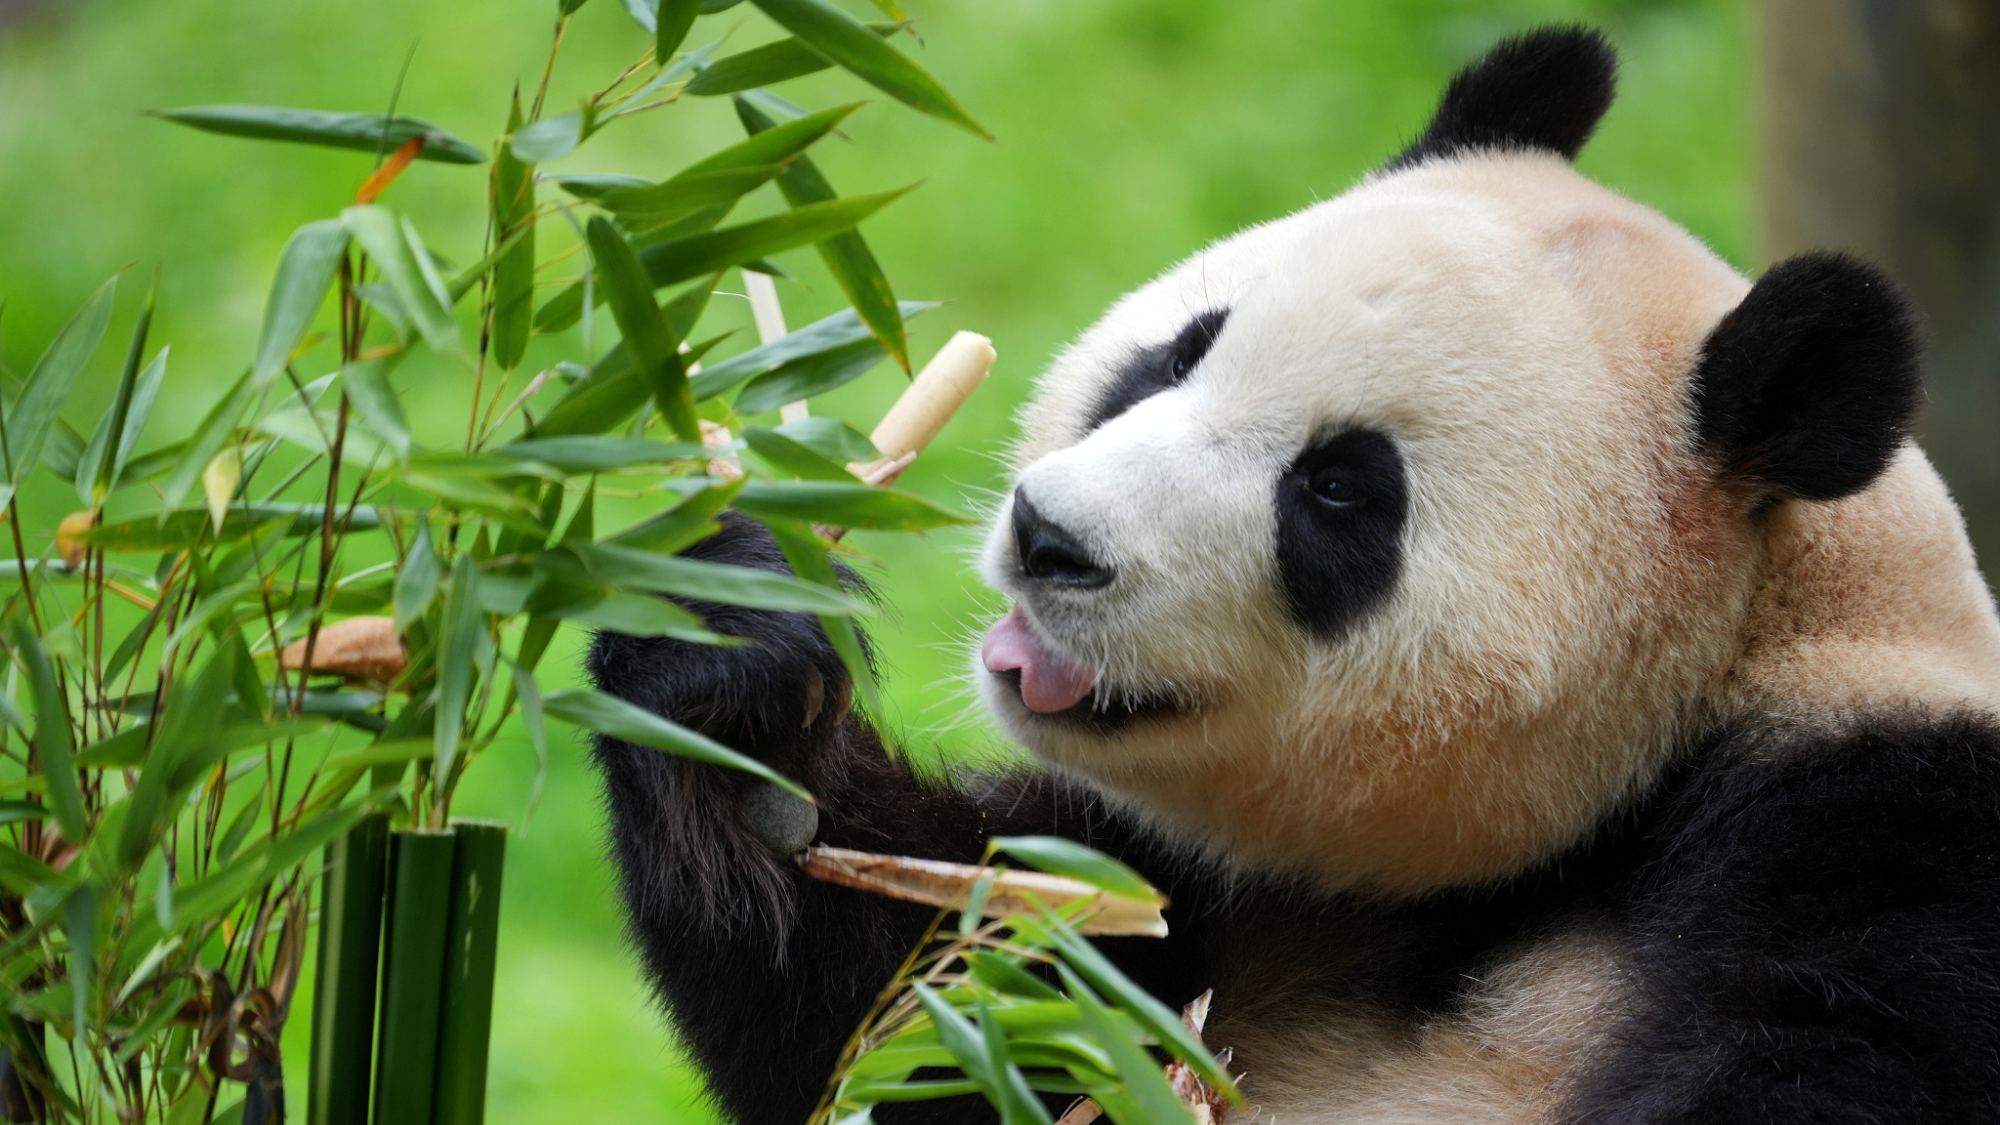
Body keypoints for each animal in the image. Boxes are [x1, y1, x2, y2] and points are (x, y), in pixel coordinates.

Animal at [587, 26, 2000, 1125]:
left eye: (1337, 490)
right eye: (1174, 356)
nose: (1050, 538)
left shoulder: (1877, 854)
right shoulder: (1195, 903)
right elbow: (924, 1007)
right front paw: (725, 650)